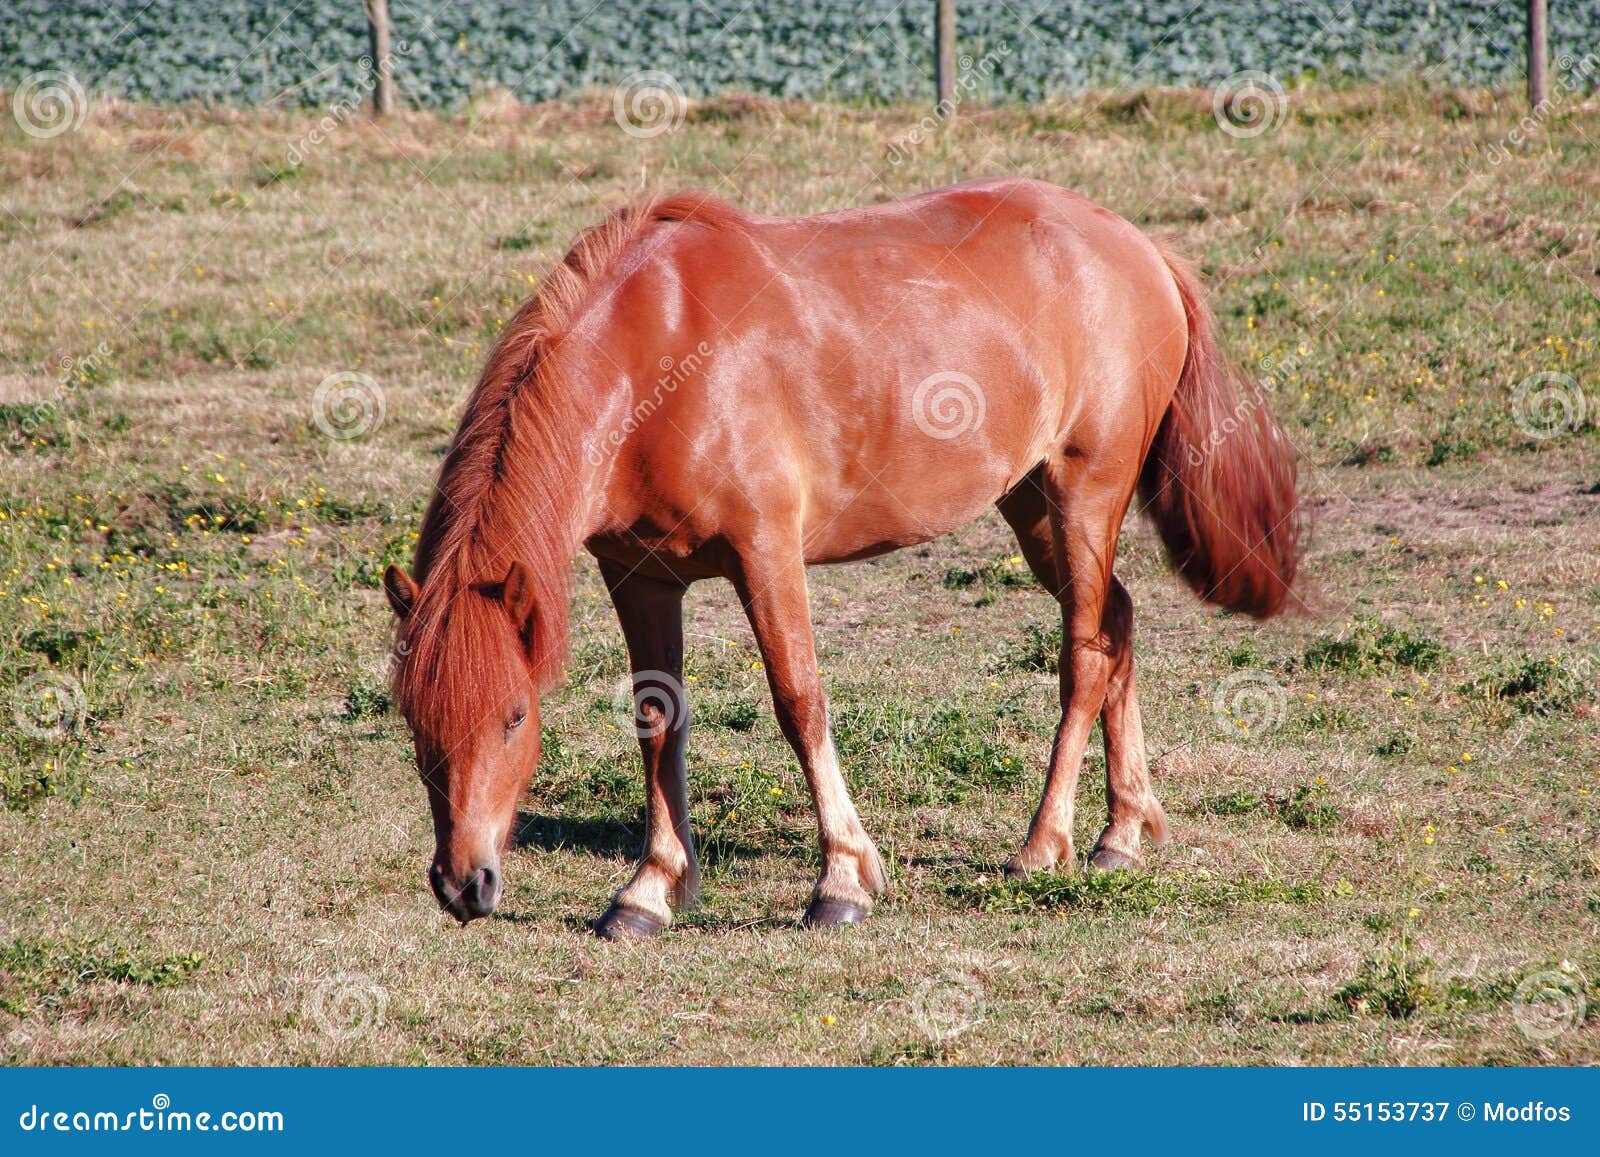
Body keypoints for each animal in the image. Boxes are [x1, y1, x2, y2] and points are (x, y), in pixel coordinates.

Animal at [382, 177, 1301, 938]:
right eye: (414, 718)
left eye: (514, 716)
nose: (463, 883)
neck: (653, 360)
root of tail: (1140, 247)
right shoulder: (640, 576)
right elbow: (658, 717)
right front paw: (650, 889)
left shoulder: (765, 553)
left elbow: (799, 701)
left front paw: (842, 881)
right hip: (1030, 504)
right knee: (1117, 621)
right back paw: (1121, 830)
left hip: (1084, 495)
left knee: (1084, 655)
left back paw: (1045, 843)